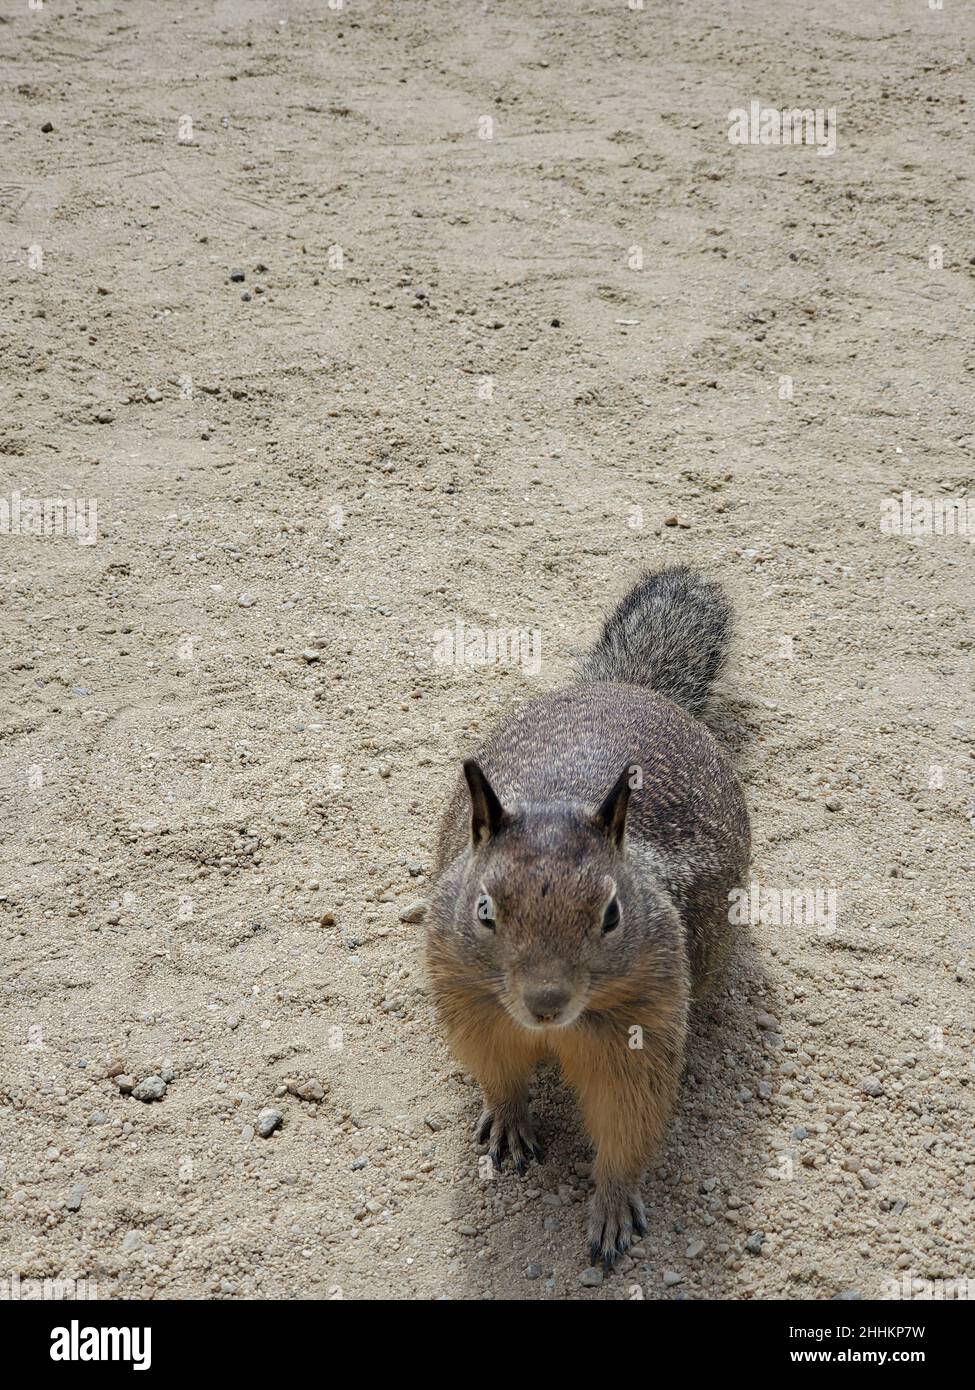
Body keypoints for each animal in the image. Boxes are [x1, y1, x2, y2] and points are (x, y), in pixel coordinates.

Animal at [425, 565, 751, 1270]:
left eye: (611, 914)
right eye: (485, 909)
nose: (545, 1002)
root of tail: (625, 684)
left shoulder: (643, 1031)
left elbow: (629, 1124)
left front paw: (612, 1209)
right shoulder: (469, 1000)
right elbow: (495, 1070)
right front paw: (509, 1121)